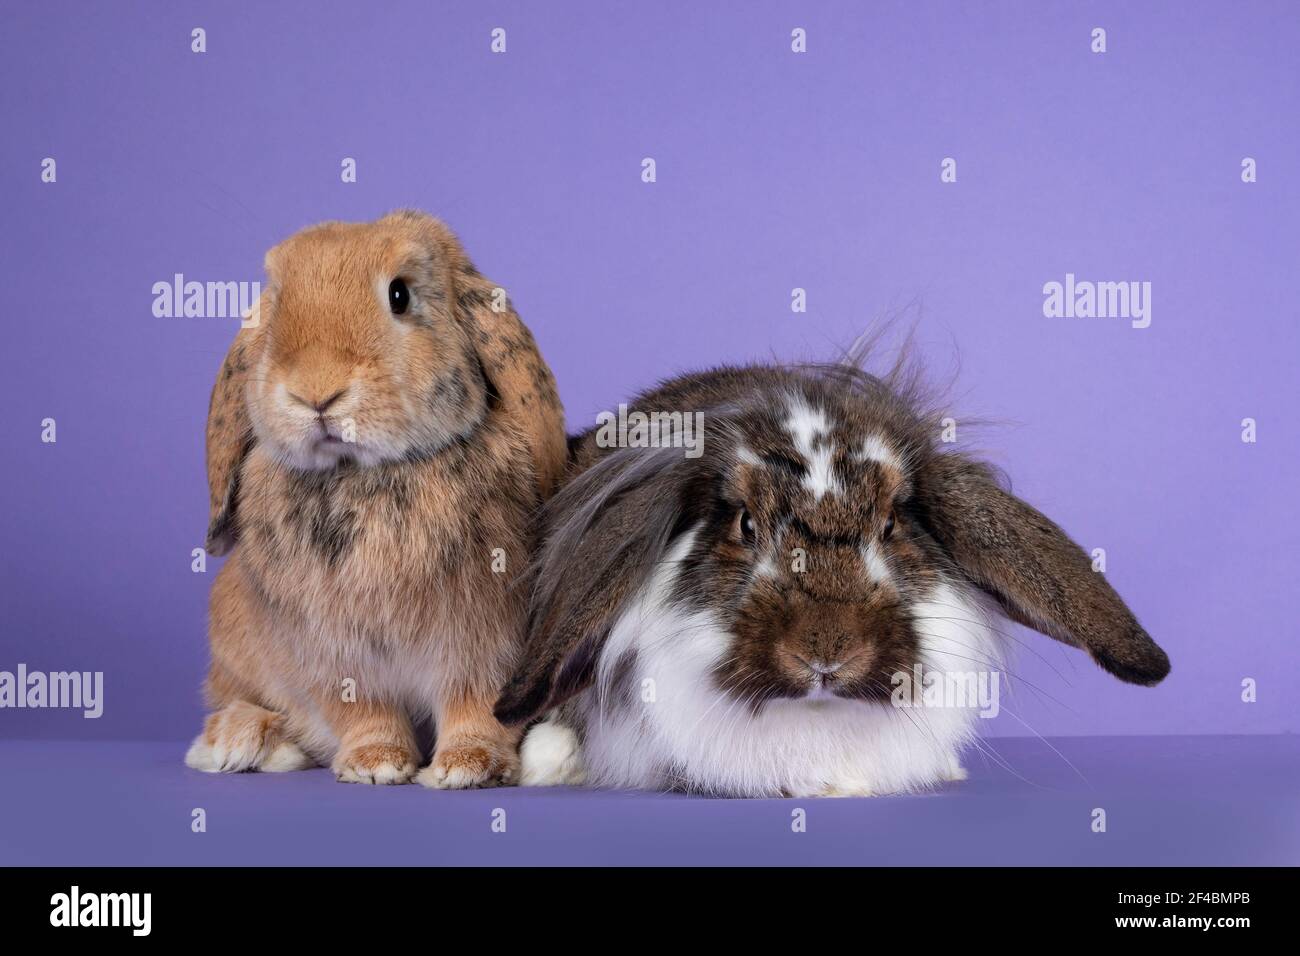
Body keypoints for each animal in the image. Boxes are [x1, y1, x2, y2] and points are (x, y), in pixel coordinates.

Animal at [185, 210, 567, 788]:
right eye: (276, 303)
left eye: (399, 295)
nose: (315, 391)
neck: (364, 472)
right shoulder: (329, 651)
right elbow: (360, 709)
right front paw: (377, 764)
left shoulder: (488, 641)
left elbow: (478, 704)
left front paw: (467, 766)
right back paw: (239, 739)